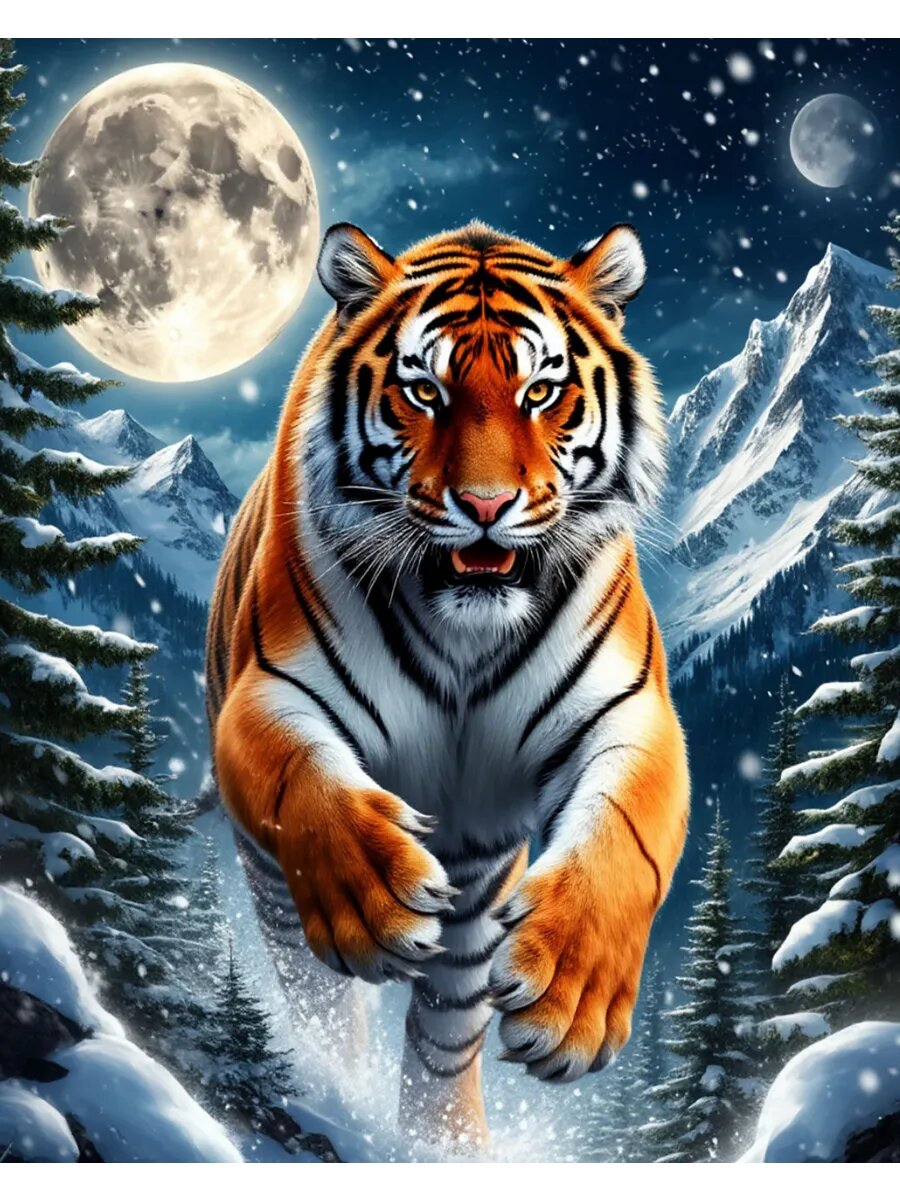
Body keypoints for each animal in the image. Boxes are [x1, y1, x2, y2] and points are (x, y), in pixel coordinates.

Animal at [205, 218, 689, 1150]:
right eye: (423, 391)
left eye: (541, 391)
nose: (486, 505)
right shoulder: (267, 689)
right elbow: (305, 779)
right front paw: (376, 893)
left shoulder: (632, 713)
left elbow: (626, 839)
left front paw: (571, 988)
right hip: (275, 900)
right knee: (320, 1001)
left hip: (479, 895)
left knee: (445, 1027)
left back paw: (441, 1146)